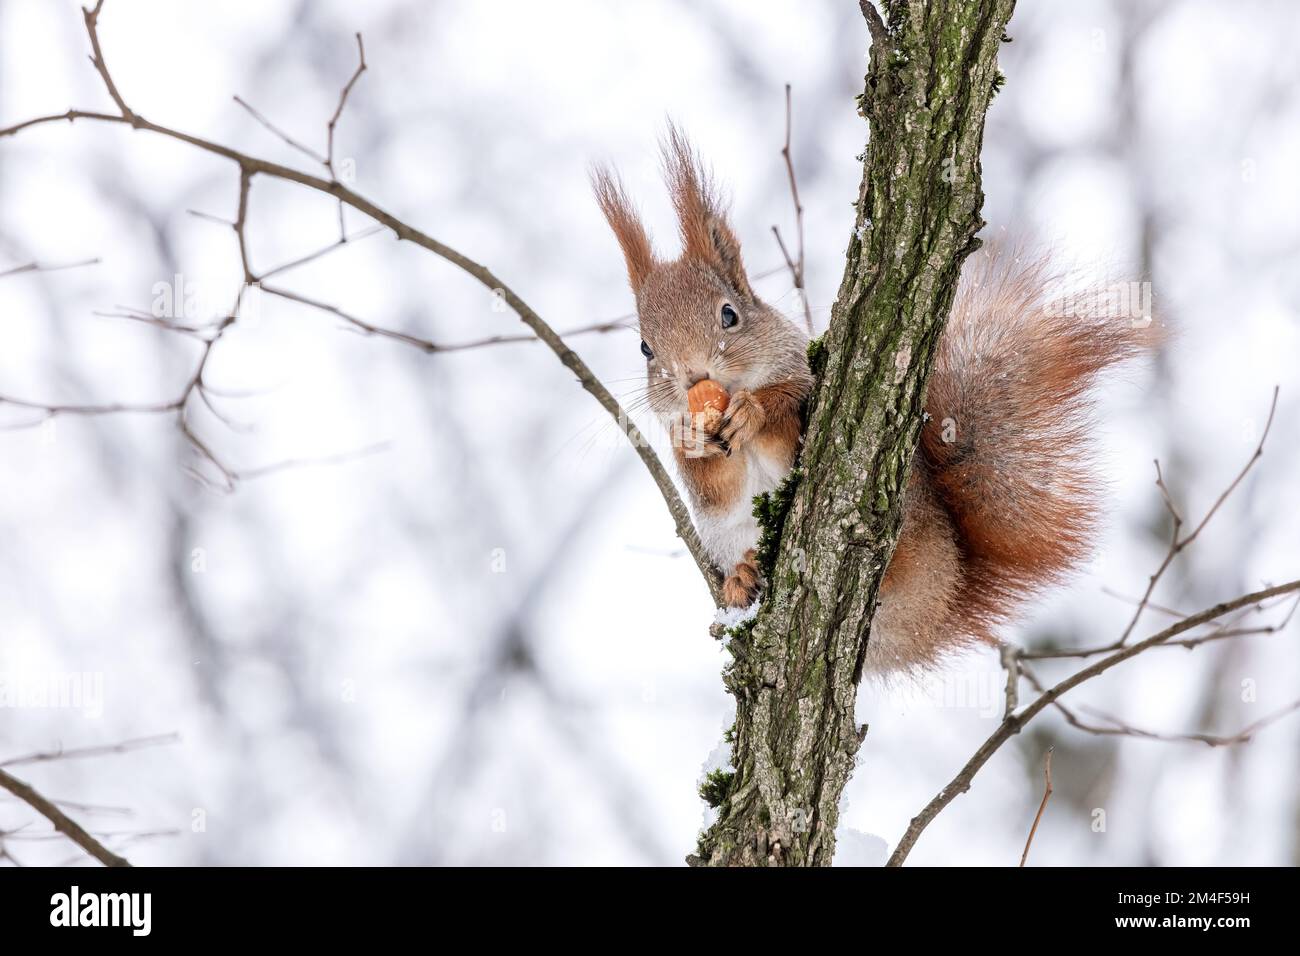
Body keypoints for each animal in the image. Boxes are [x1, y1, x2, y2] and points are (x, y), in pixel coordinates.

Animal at [593, 127, 1154, 671]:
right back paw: (744, 574)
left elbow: (789, 418)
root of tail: (933, 615)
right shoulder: (711, 494)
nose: (693, 375)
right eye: (645, 348)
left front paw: (755, 411)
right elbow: (716, 490)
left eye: (729, 314)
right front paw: (691, 438)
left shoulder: (807, 382)